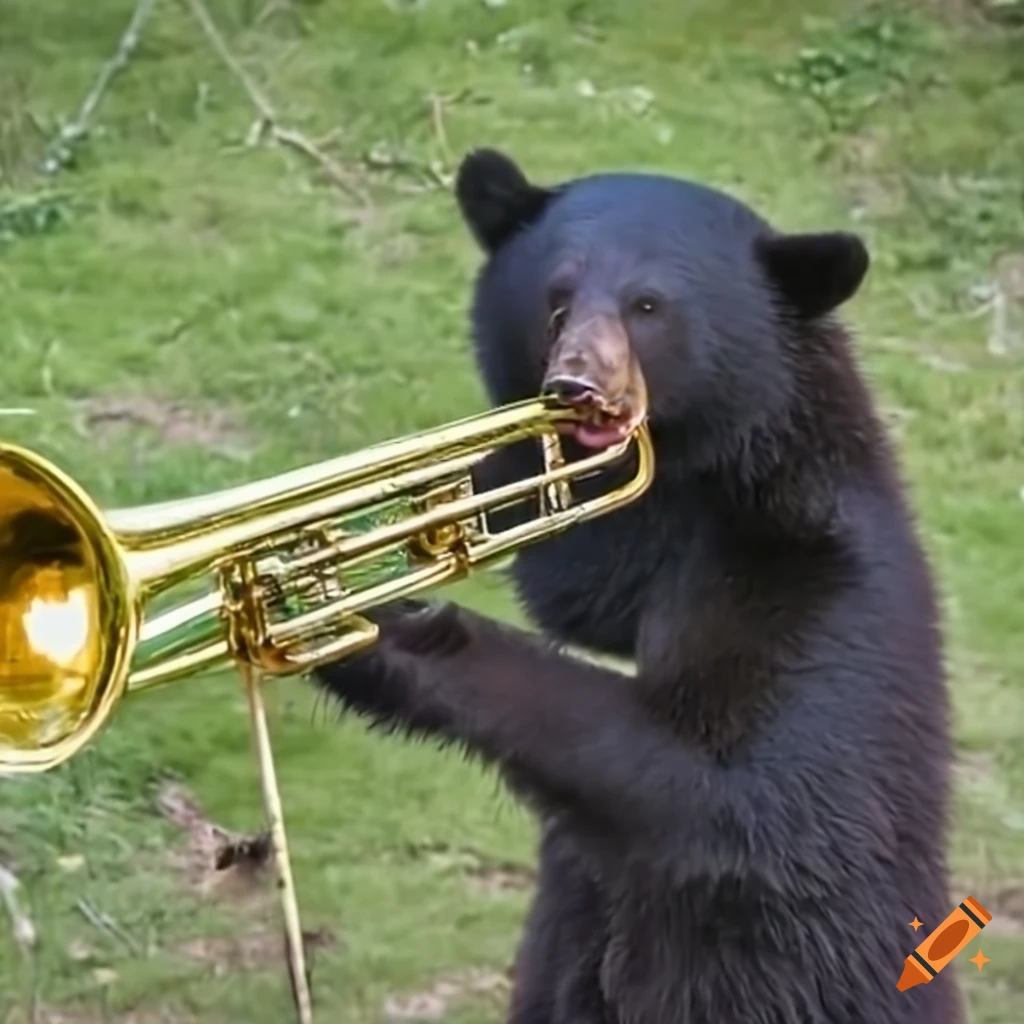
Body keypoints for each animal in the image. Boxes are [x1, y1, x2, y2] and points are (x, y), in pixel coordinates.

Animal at [312, 149, 962, 1024]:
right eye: (557, 295)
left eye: (649, 305)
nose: (576, 385)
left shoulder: (808, 574)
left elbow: (737, 791)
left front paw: (397, 630)